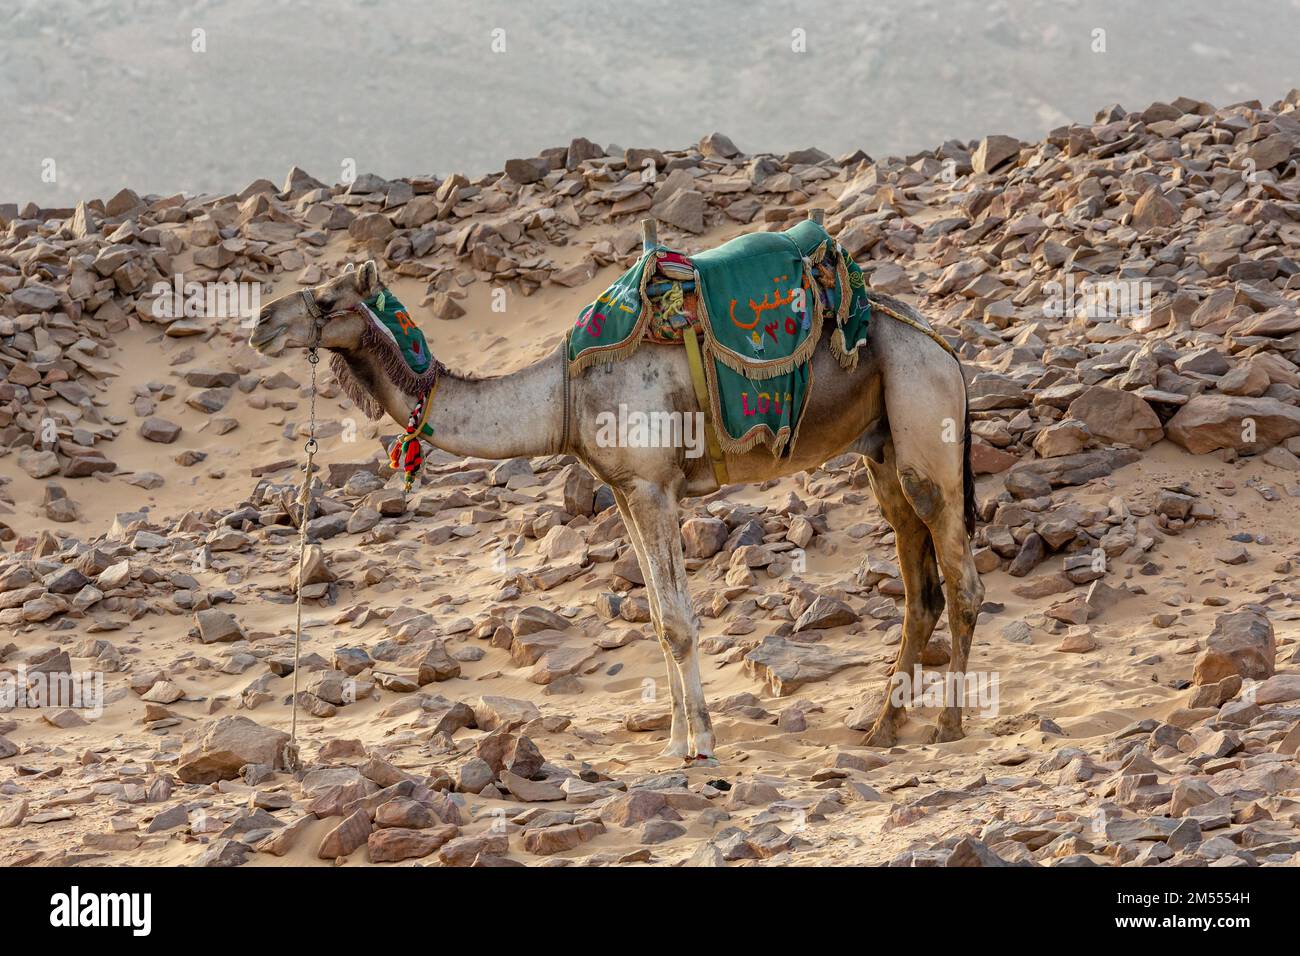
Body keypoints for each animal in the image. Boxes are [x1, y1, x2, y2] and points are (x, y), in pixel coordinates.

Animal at [249, 223, 984, 763]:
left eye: (326, 300)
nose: (259, 321)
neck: (562, 398)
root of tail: (947, 350)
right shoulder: (629, 489)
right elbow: (659, 618)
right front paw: (675, 740)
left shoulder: (655, 487)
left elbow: (678, 621)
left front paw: (700, 744)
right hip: (881, 448)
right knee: (921, 588)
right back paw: (882, 729)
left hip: (924, 418)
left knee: (960, 578)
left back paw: (949, 725)